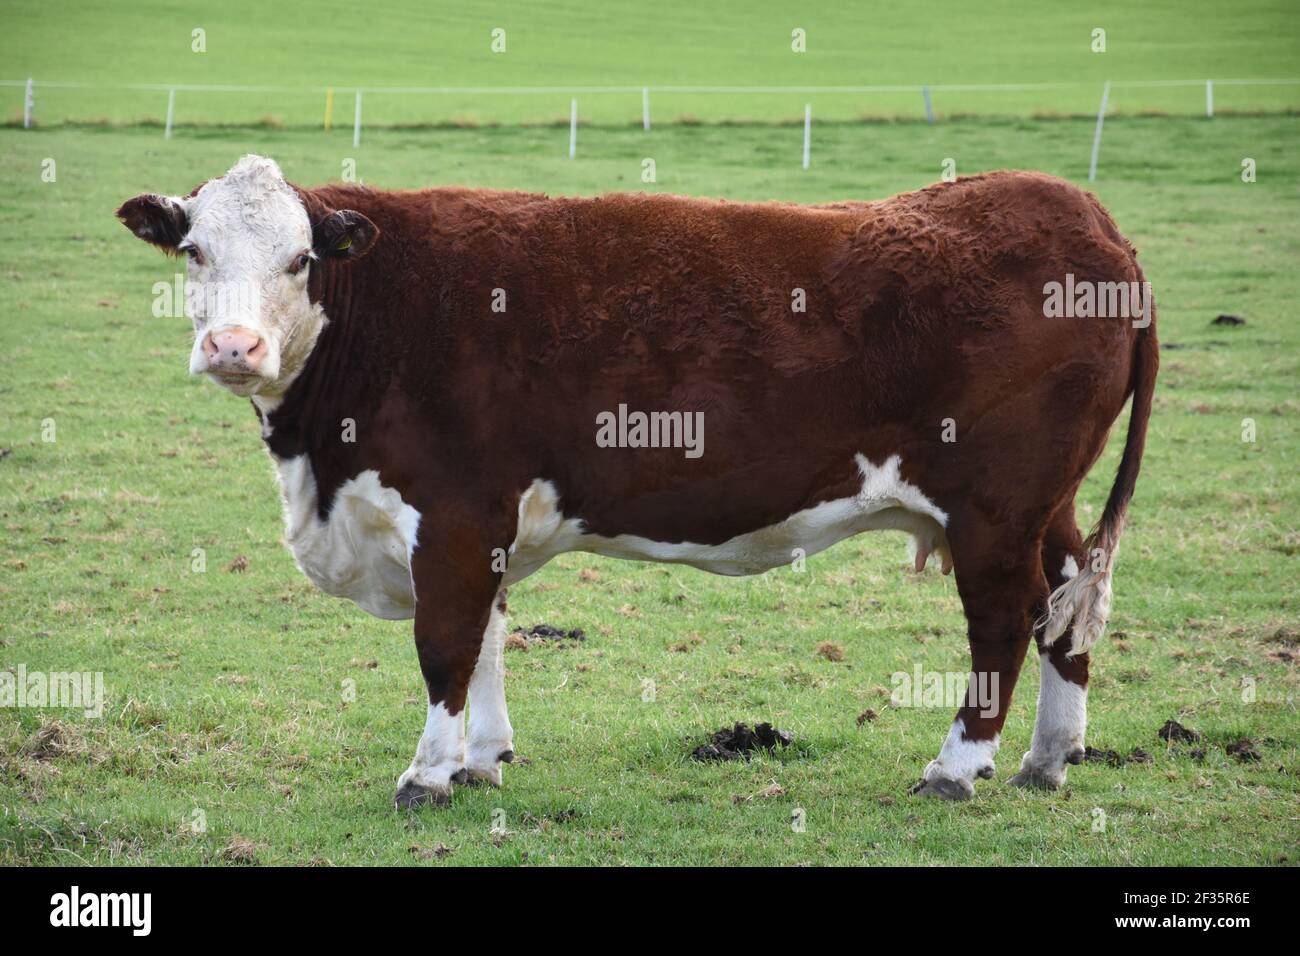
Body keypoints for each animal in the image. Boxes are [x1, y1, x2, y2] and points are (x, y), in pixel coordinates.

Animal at [117, 155, 1157, 806]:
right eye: (194, 251)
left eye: (299, 260)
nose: (234, 347)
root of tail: (1085, 214)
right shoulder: (483, 524)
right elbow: (489, 639)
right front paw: (482, 763)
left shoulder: (453, 512)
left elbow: (445, 644)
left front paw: (426, 775)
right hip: (1046, 504)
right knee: (1065, 601)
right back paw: (1047, 760)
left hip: (994, 508)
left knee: (1003, 622)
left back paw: (955, 768)